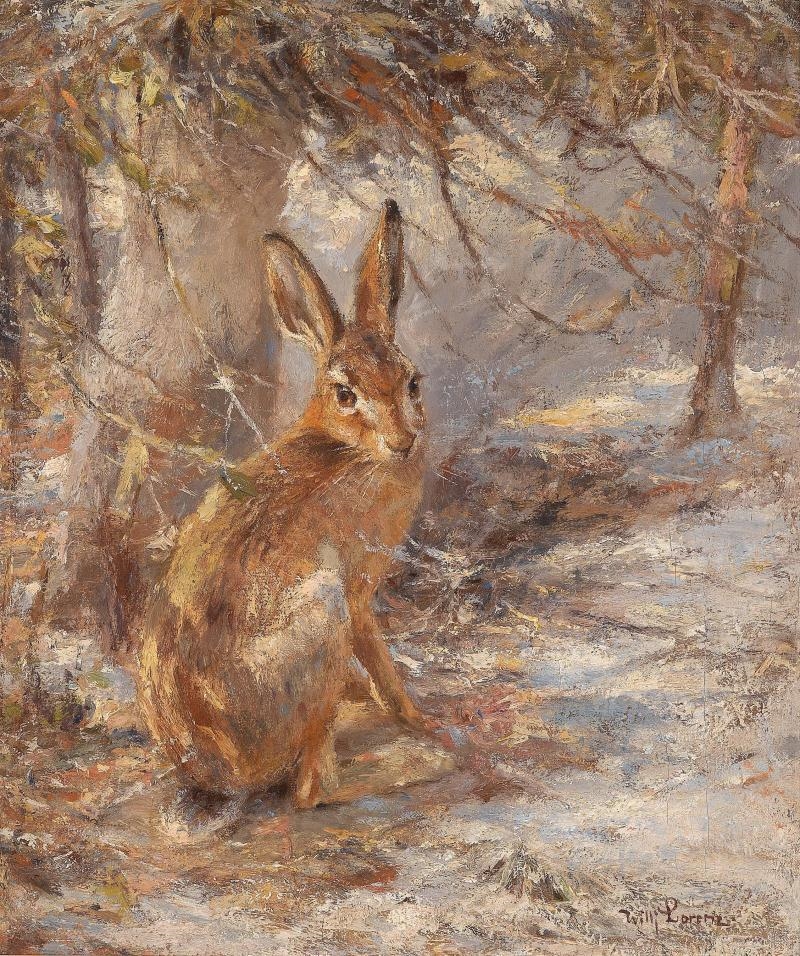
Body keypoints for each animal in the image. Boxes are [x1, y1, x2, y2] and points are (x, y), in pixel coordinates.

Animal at [138, 199, 431, 808]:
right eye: (345, 394)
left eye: (412, 382)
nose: (404, 442)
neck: (346, 448)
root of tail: (215, 765)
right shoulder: (357, 591)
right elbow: (379, 657)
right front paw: (416, 716)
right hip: (321, 617)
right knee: (307, 787)